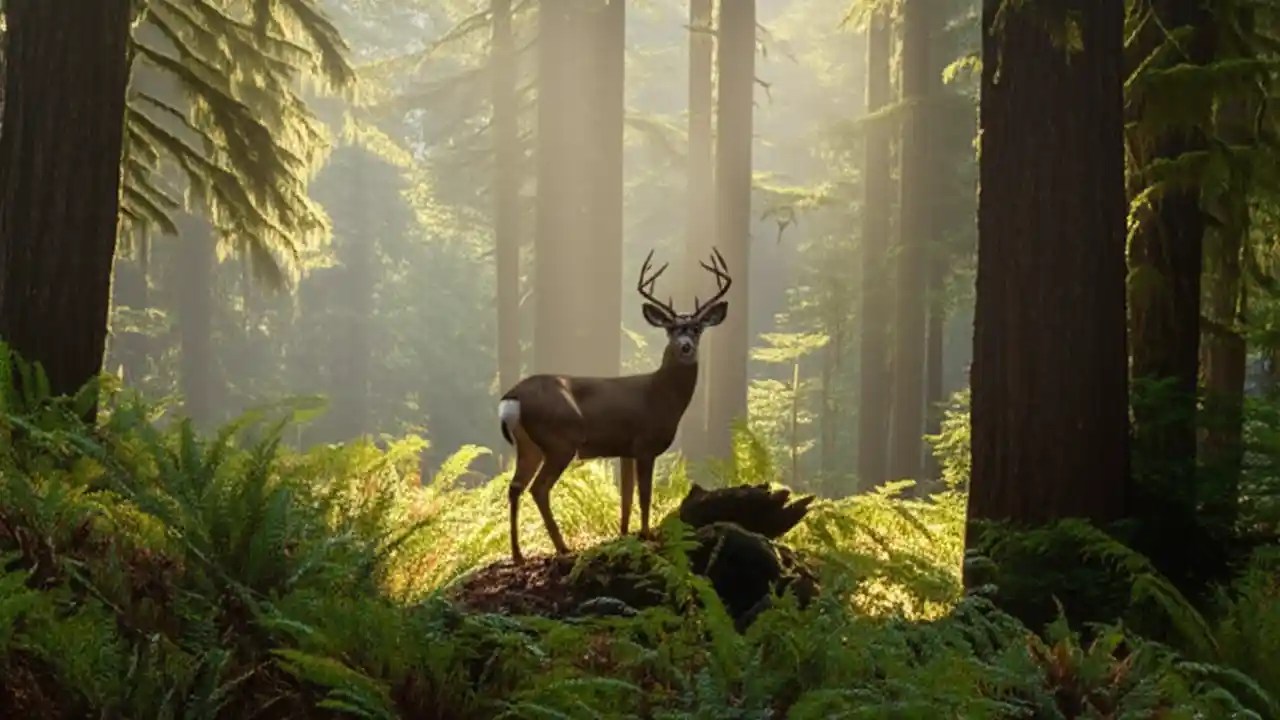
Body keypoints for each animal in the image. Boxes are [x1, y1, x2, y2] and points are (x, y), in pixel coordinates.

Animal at [496, 248, 732, 563]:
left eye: (697, 329)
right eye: (670, 329)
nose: (685, 346)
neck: (660, 396)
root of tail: (513, 396)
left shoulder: (625, 449)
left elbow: (627, 497)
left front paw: (623, 535)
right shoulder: (645, 444)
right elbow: (644, 495)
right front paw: (646, 535)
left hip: (528, 445)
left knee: (515, 487)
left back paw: (518, 555)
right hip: (559, 440)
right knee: (539, 488)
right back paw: (562, 547)